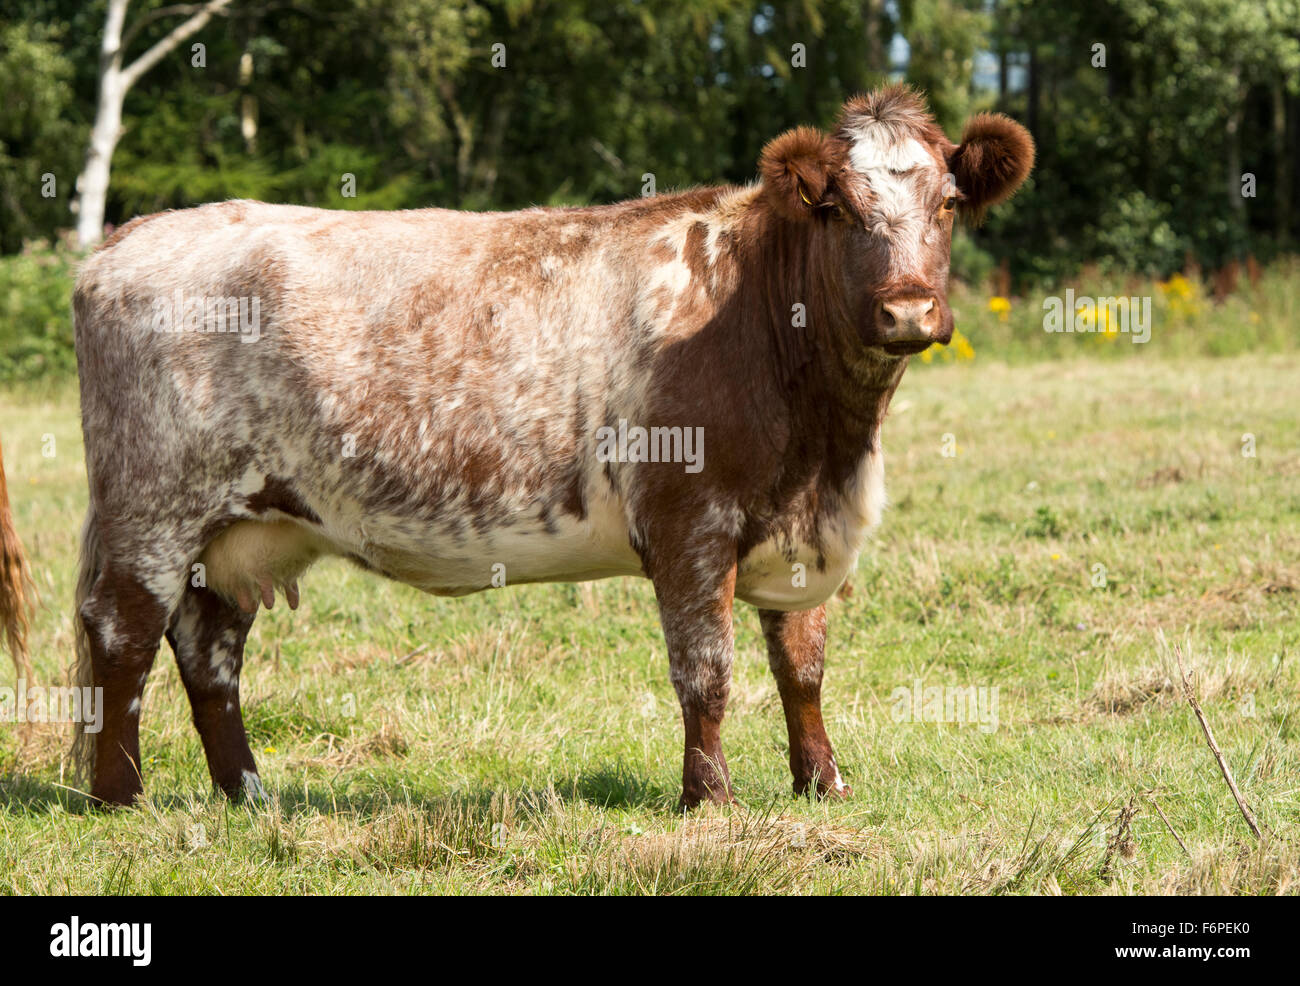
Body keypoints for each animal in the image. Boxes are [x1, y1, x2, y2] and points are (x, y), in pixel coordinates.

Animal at [51, 84, 1032, 809]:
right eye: (837, 207)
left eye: (948, 203)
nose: (908, 310)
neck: (826, 442)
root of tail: (129, 238)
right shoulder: (689, 521)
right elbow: (706, 672)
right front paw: (709, 800)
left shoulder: (800, 529)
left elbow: (803, 667)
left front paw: (822, 785)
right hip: (153, 506)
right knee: (123, 635)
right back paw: (122, 797)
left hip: (243, 524)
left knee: (208, 650)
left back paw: (247, 794)